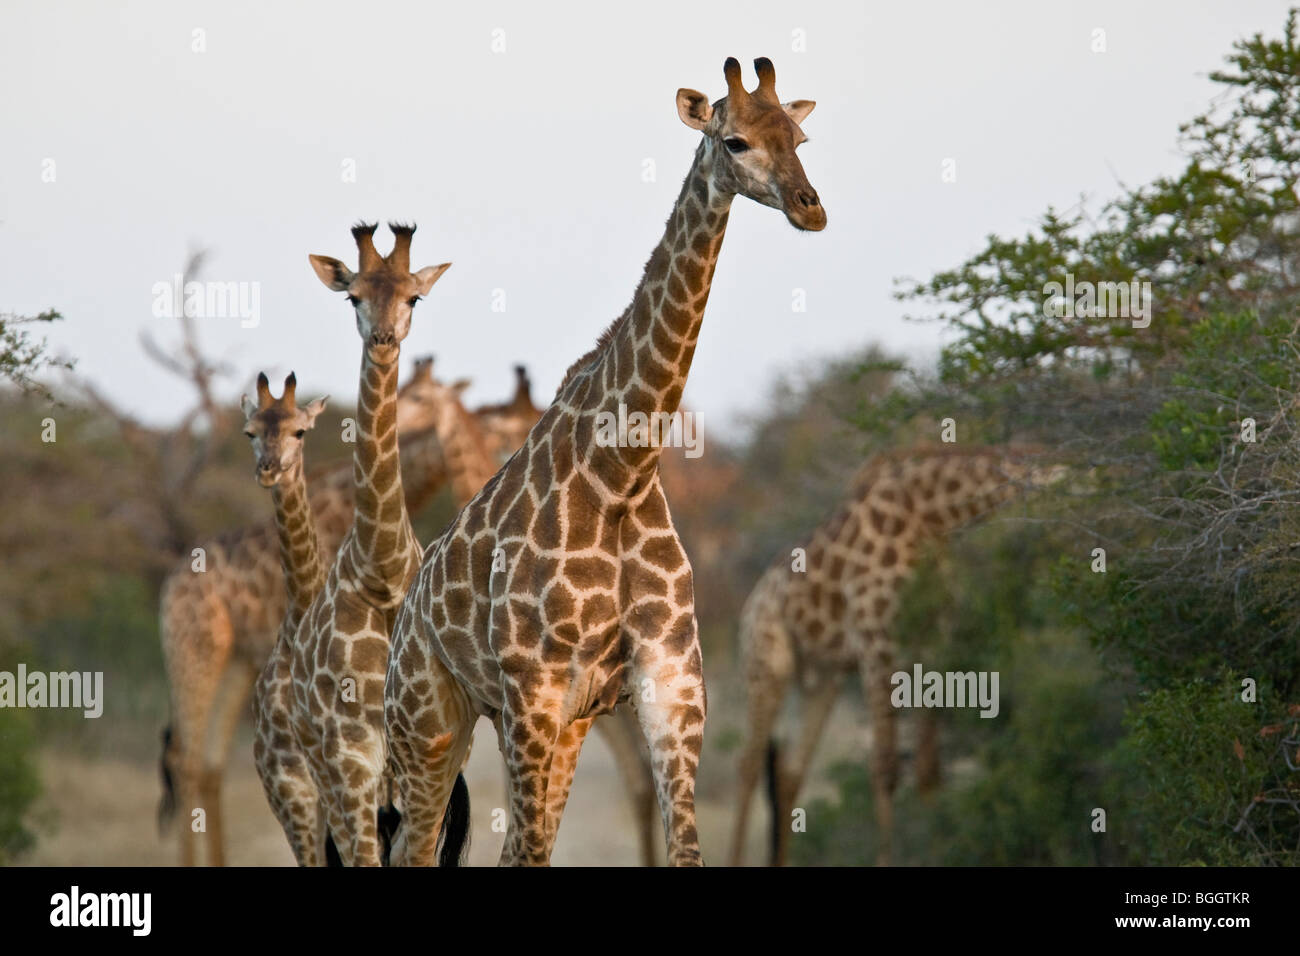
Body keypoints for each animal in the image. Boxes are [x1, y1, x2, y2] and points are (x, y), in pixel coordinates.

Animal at [157, 358, 453, 866]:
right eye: (250, 432)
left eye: (299, 431)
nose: (269, 469)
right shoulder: (312, 779)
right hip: (202, 662)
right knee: (189, 760)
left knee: (204, 764)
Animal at [289, 221, 463, 866]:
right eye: (354, 297)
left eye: (414, 297)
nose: (385, 338)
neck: (381, 567)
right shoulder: (351, 756)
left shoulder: (432, 750)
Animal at [384, 56, 825, 867]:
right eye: (737, 140)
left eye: (801, 135)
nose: (811, 209)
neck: (620, 475)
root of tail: (405, 619)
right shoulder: (532, 690)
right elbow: (528, 848)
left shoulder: (669, 683)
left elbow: (682, 849)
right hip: (430, 718)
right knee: (413, 846)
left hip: (558, 722)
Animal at [727, 444, 1059, 867]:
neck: (927, 516)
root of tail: (751, 603)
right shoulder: (877, 642)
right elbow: (885, 766)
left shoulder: (933, 643)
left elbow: (929, 768)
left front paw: (939, 850)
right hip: (767, 664)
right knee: (748, 766)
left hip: (824, 677)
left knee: (788, 772)